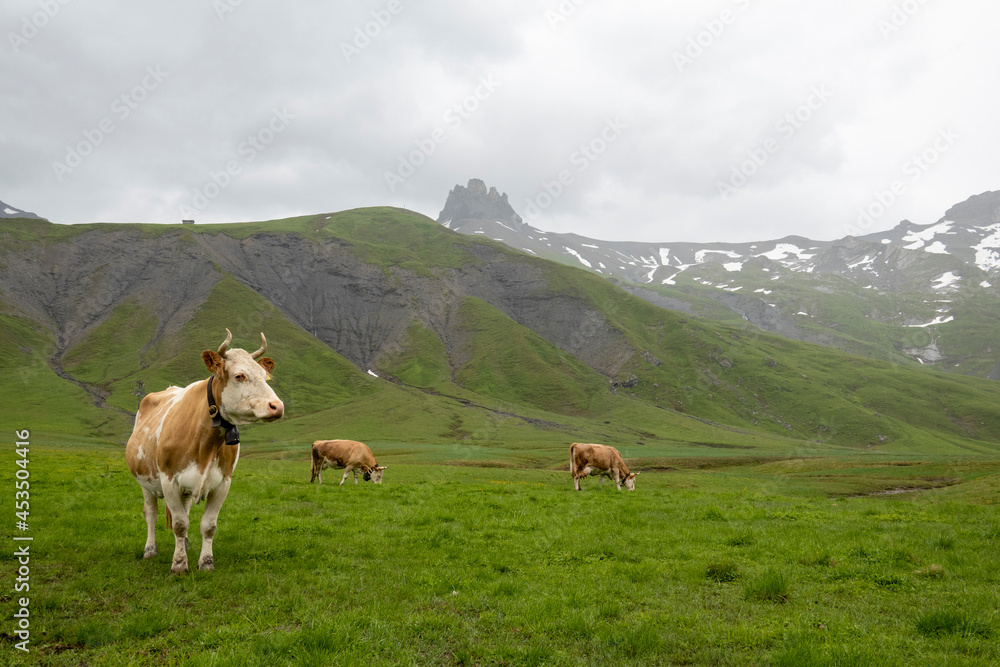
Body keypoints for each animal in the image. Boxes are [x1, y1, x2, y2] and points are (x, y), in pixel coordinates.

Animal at [125, 329, 284, 574]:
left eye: (264, 375)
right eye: (239, 376)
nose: (277, 406)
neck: (205, 444)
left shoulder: (223, 482)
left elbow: (208, 525)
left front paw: (206, 562)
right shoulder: (169, 480)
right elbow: (179, 524)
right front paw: (179, 565)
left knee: (185, 509)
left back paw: (186, 544)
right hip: (145, 481)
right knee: (150, 513)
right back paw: (150, 550)